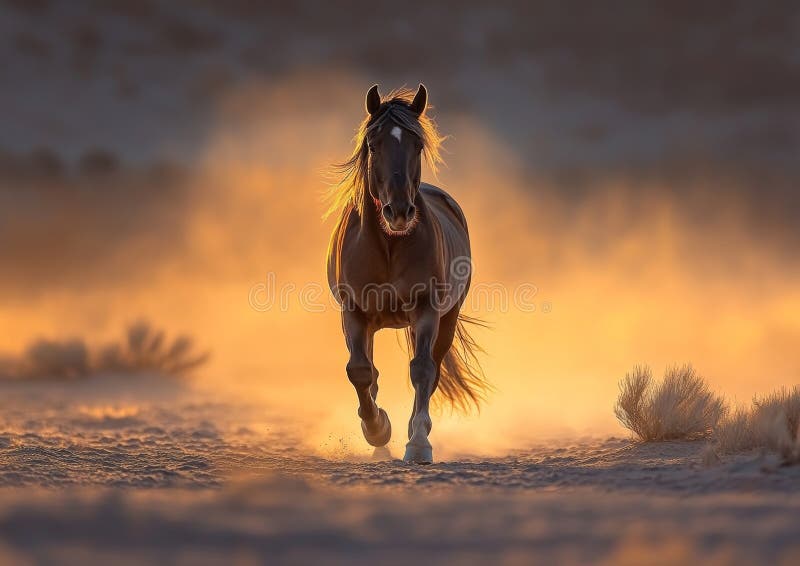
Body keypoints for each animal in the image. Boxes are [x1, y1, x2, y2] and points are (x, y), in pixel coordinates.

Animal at [326, 84, 489, 464]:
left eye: (418, 145)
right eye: (373, 145)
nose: (399, 211)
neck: (389, 245)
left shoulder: (427, 310)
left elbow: (422, 370)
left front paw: (417, 444)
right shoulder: (353, 312)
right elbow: (360, 371)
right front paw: (377, 430)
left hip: (445, 318)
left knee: (431, 369)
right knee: (370, 371)